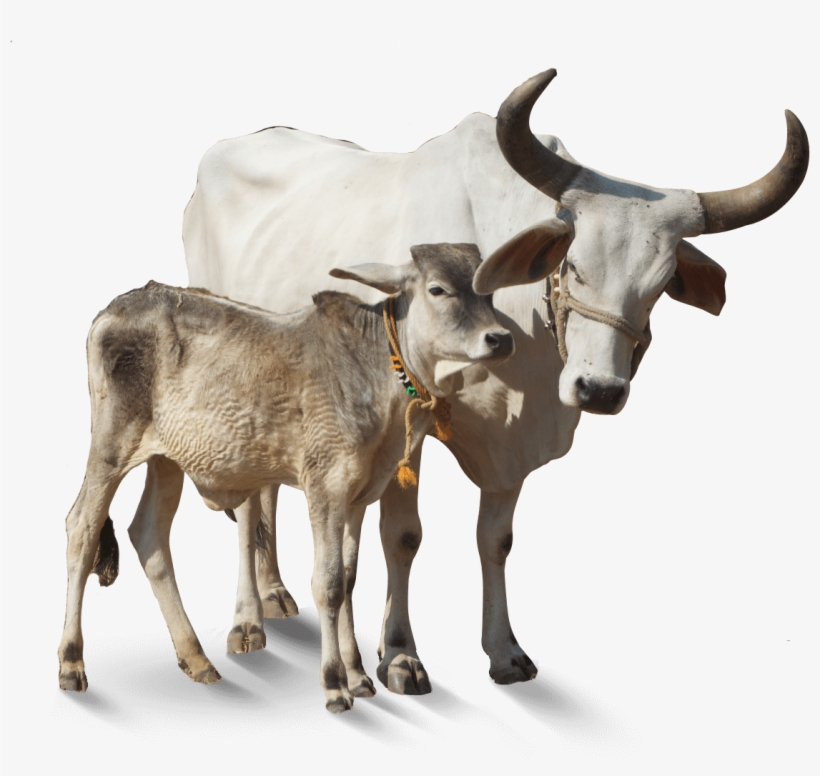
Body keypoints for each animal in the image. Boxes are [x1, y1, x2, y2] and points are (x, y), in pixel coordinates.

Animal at [57, 244, 516, 712]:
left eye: (489, 291)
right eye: (438, 289)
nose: (501, 338)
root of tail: (116, 307)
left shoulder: (358, 497)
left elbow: (348, 579)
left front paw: (358, 676)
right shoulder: (325, 486)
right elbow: (328, 583)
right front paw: (334, 683)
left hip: (166, 460)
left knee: (149, 535)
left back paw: (196, 658)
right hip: (111, 446)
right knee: (82, 527)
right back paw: (72, 663)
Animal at [182, 69, 809, 693]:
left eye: (660, 285)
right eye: (572, 265)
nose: (600, 391)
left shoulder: (512, 447)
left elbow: (496, 541)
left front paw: (503, 650)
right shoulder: (409, 428)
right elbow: (403, 537)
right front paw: (400, 655)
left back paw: (274, 594)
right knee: (246, 503)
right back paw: (248, 620)